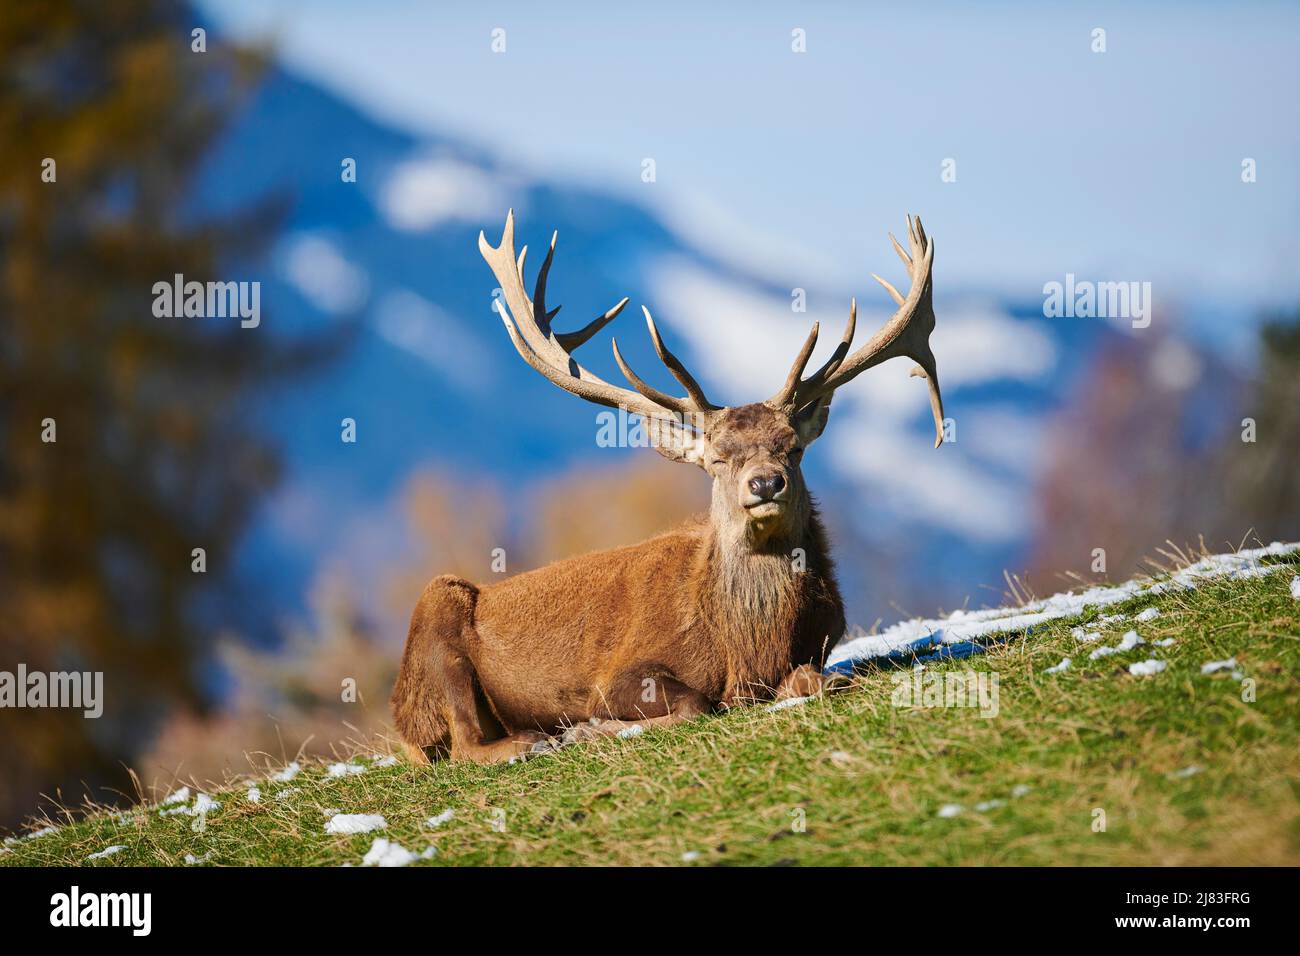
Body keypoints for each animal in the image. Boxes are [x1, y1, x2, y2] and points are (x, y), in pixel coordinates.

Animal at [392, 210, 944, 763]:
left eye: (792, 446)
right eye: (717, 459)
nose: (766, 482)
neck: (745, 650)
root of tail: (401, 713)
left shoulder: (824, 643)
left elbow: (815, 678)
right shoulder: (616, 674)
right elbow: (695, 703)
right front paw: (592, 729)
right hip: (435, 617)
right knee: (465, 745)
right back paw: (535, 740)